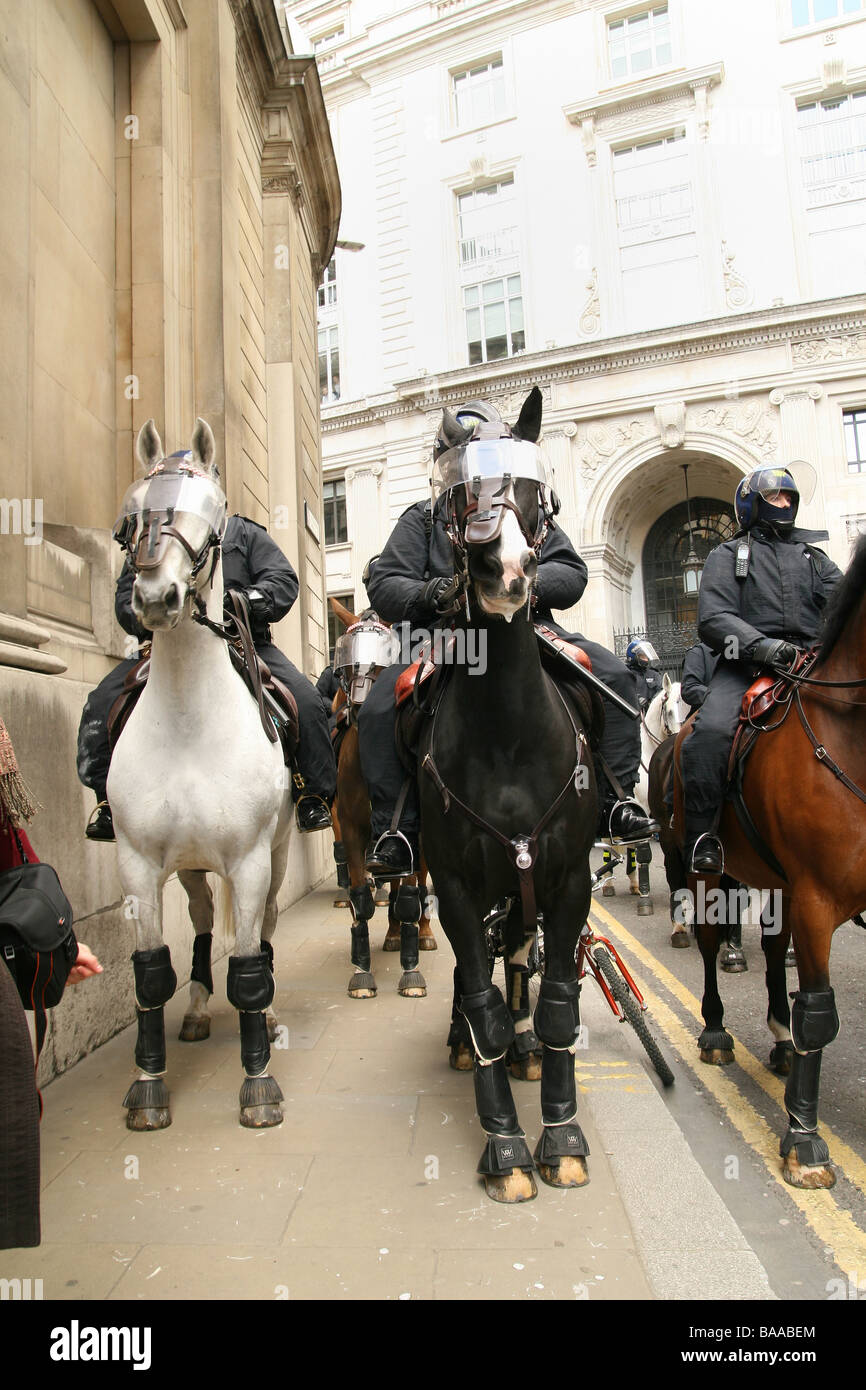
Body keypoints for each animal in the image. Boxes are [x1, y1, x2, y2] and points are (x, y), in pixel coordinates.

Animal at [108, 419, 291, 1131]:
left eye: (211, 513)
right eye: (132, 515)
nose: (157, 596)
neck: (188, 720)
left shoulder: (250, 859)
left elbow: (248, 968)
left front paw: (258, 1083)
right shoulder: (136, 863)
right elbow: (149, 974)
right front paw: (148, 1083)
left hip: (277, 854)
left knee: (261, 930)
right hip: (187, 865)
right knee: (206, 916)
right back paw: (193, 1009)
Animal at [327, 599, 436, 1000]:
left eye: (382, 659)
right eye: (345, 657)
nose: (358, 706)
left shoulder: (412, 831)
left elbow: (409, 897)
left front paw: (411, 972)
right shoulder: (353, 830)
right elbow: (361, 900)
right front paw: (361, 973)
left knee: (417, 884)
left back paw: (422, 933)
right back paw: (390, 935)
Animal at [666, 539, 866, 1189]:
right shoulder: (818, 897)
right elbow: (820, 1012)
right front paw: (803, 1138)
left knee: (776, 951)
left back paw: (779, 1037)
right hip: (704, 867)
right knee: (709, 939)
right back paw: (716, 1031)